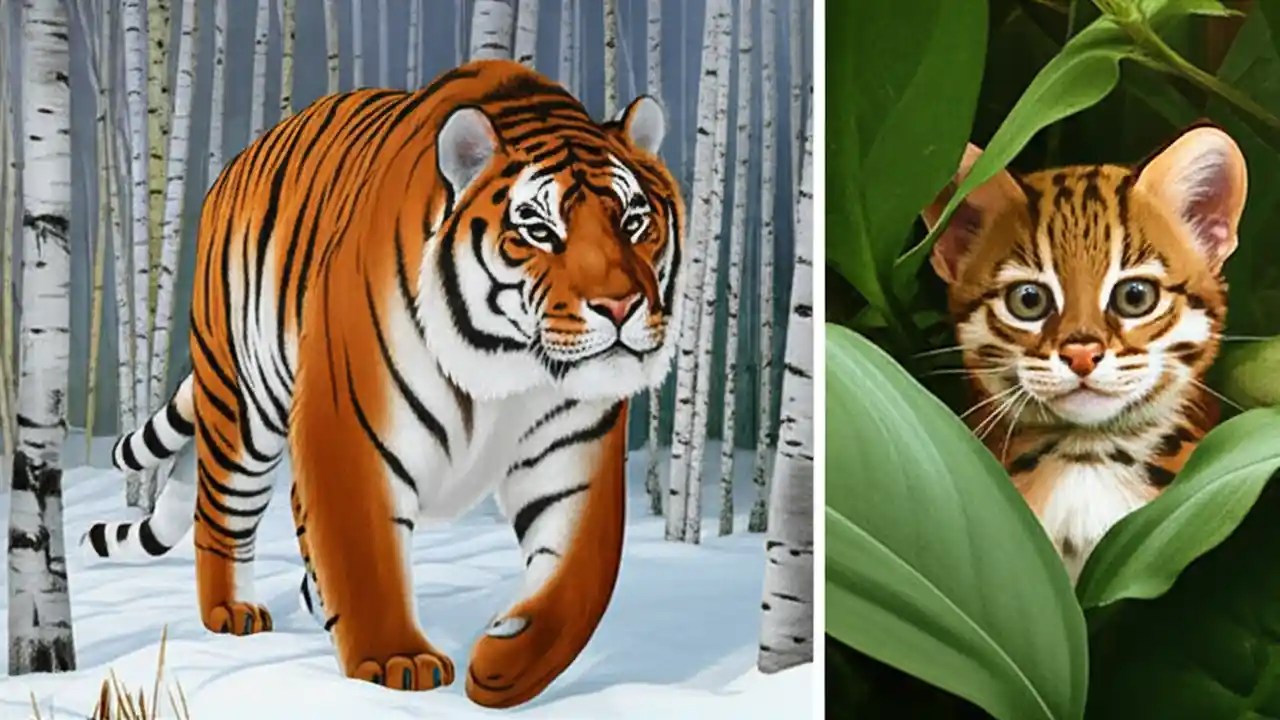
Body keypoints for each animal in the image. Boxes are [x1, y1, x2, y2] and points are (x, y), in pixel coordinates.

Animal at [81, 59, 684, 708]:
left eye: (634, 222)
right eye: (540, 231)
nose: (620, 306)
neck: (506, 367)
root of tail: (234, 165)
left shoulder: (575, 453)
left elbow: (580, 582)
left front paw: (503, 666)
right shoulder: (347, 430)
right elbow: (365, 558)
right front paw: (398, 662)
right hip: (243, 406)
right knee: (221, 514)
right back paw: (232, 611)